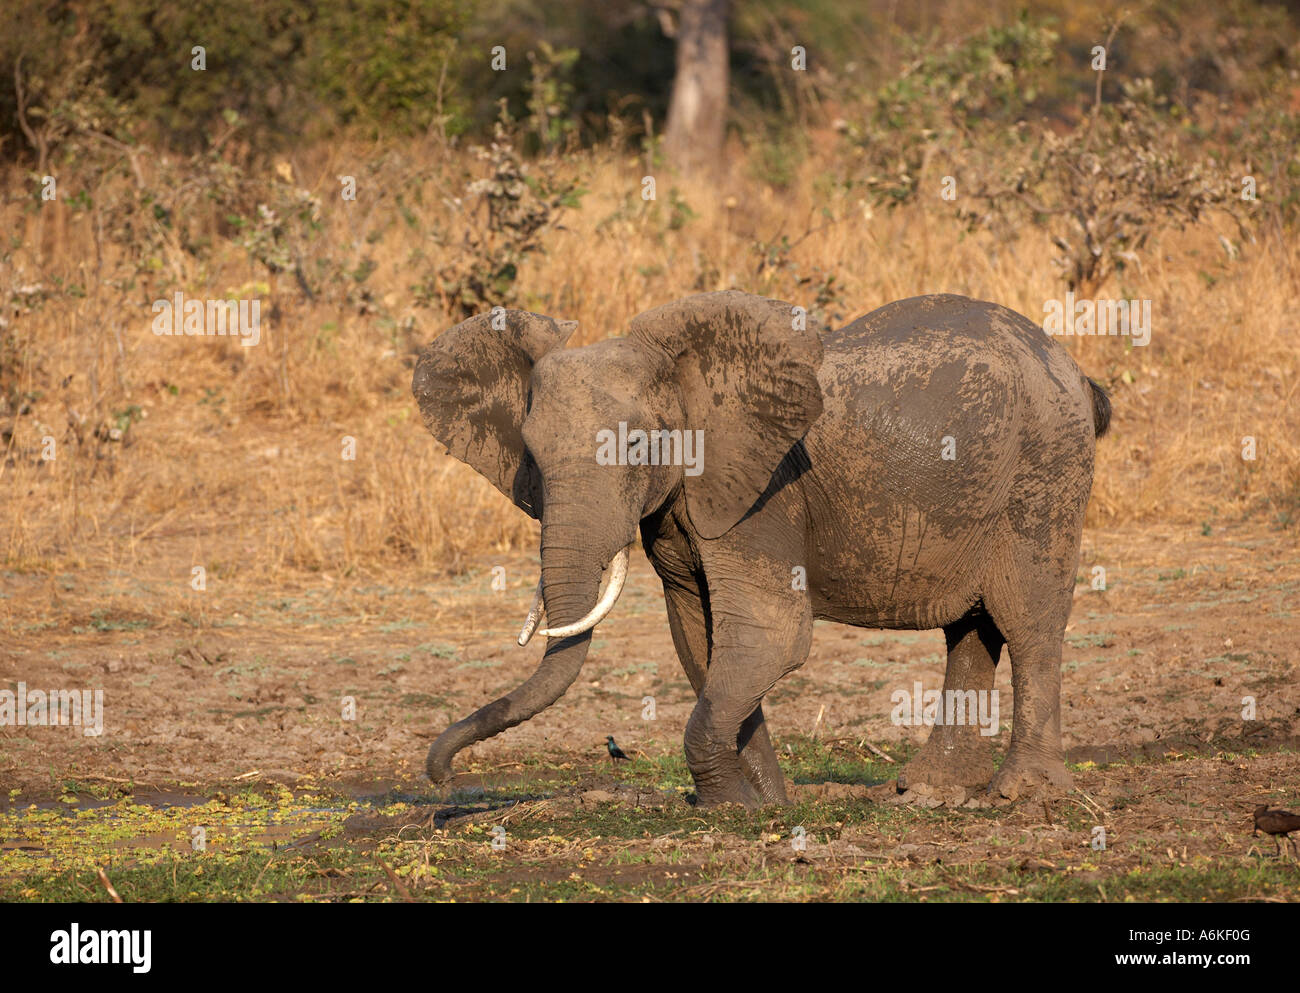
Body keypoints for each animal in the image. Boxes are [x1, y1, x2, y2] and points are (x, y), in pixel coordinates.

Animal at [411, 291, 1110, 808]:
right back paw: (927, 790)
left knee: (1029, 620)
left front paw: (729, 808)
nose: (445, 778)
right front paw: (763, 806)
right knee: (971, 627)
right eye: (530, 452)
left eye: (636, 446)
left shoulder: (764, 497)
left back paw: (1024, 796)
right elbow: (700, 638)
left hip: (1046, 469)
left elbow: (769, 636)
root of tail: (1073, 368)